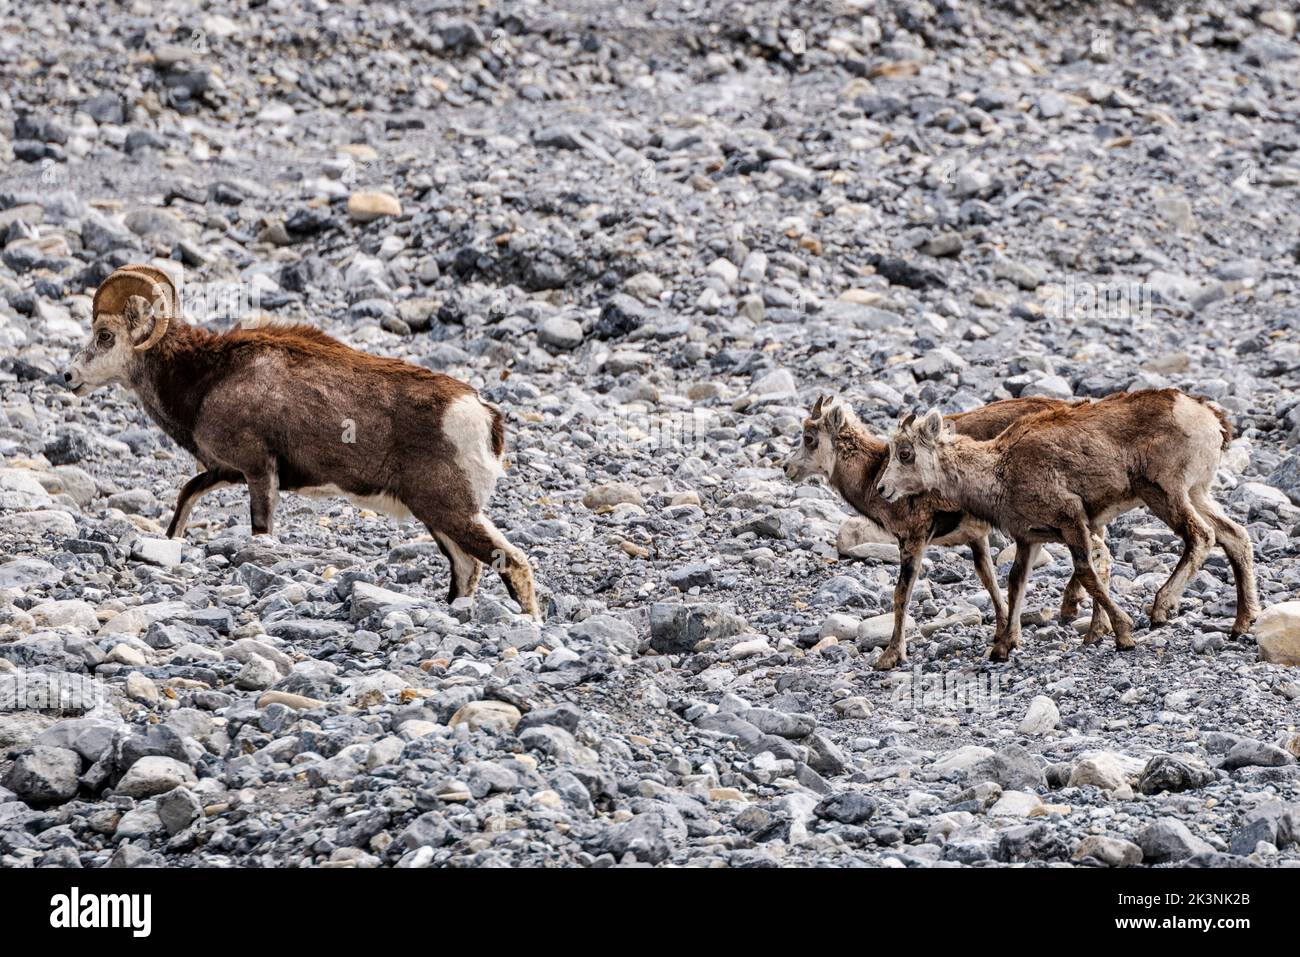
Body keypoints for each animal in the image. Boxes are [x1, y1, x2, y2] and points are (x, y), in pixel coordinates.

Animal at [64, 264, 540, 620]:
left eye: (105, 336)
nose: (68, 377)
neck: (206, 378)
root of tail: (483, 416)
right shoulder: (224, 471)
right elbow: (185, 498)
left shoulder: (258, 471)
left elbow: (260, 529)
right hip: (440, 517)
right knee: (466, 568)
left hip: (452, 511)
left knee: (512, 562)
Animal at [785, 394, 1110, 669]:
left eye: (809, 438)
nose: (787, 468)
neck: (873, 476)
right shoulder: (976, 537)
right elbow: (989, 579)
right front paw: (1004, 634)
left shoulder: (913, 539)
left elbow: (901, 594)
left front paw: (890, 657)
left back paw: (1087, 622)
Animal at [877, 388, 1259, 661]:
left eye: (906, 453)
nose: (882, 489)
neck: (1001, 470)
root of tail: (1210, 420)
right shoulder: (1029, 539)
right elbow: (1016, 583)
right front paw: (1002, 647)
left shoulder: (1072, 520)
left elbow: (1087, 571)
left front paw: (1123, 635)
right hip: (1197, 493)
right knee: (1234, 536)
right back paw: (1241, 624)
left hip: (1166, 494)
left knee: (1201, 536)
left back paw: (1161, 609)